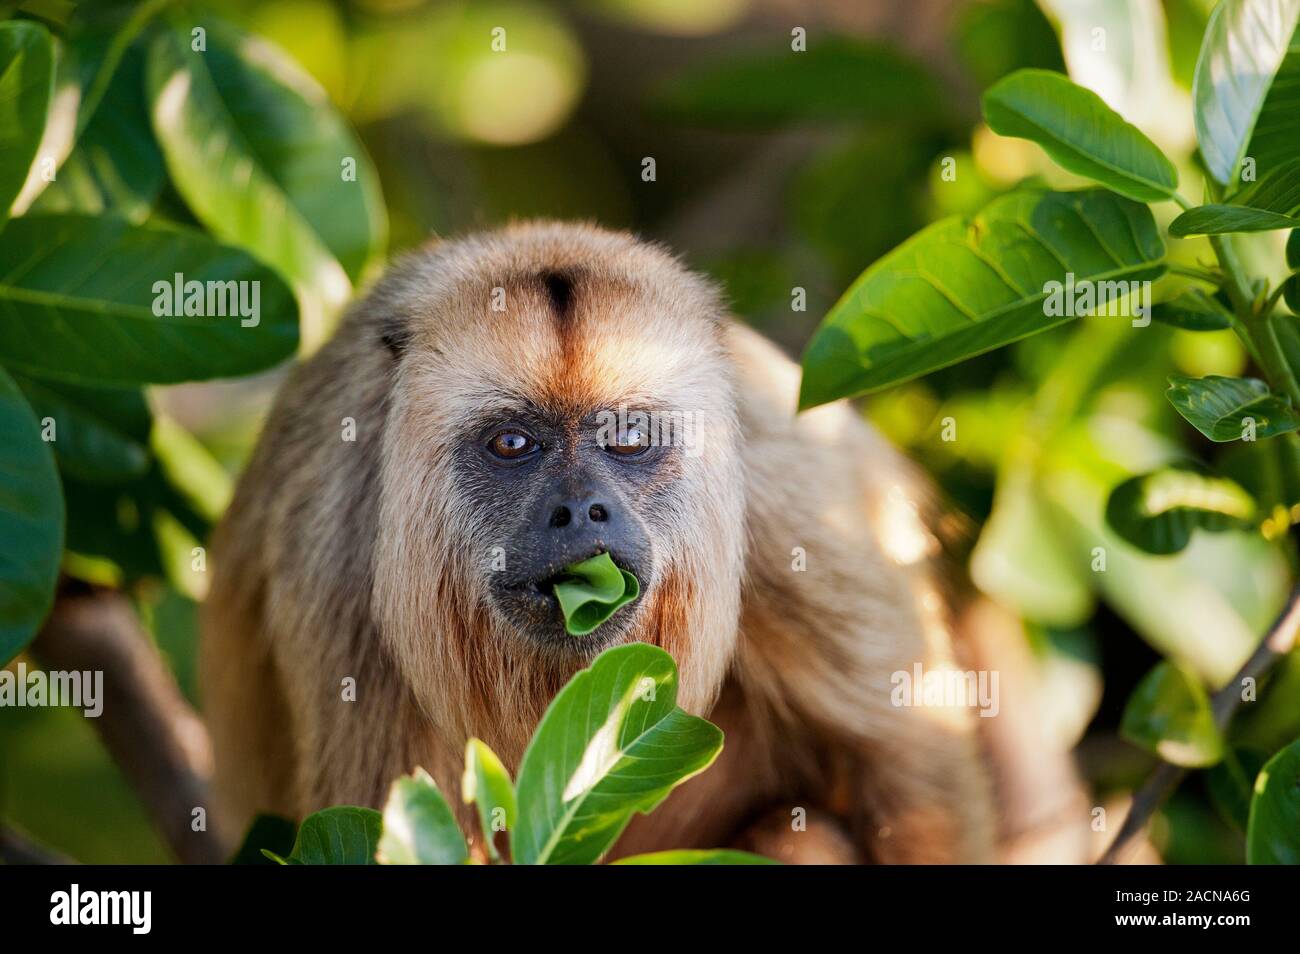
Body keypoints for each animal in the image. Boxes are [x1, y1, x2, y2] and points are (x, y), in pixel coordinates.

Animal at [201, 221, 1081, 864]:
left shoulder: (784, 487)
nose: (582, 511)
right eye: (513, 444)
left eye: (627, 438)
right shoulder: (337, 547)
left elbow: (912, 757)